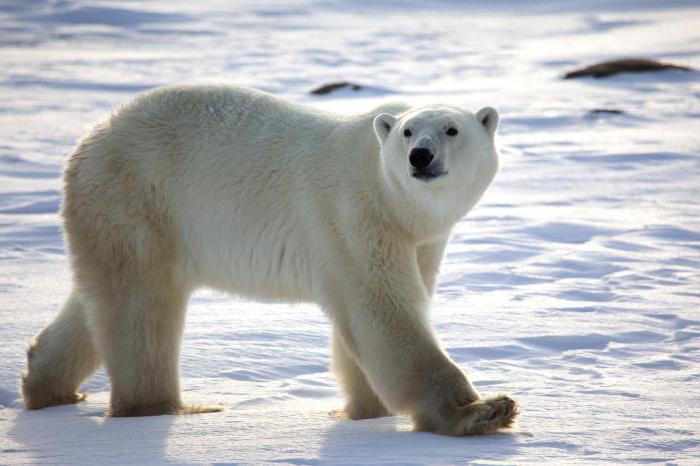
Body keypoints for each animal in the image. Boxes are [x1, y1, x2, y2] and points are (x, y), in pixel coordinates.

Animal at [20, 84, 516, 436]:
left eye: (452, 129)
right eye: (409, 132)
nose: (420, 156)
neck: (391, 196)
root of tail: (91, 138)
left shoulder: (419, 240)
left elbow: (362, 324)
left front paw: (364, 413)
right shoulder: (352, 214)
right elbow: (384, 312)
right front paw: (482, 410)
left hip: (118, 216)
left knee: (98, 301)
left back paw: (48, 386)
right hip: (140, 197)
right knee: (142, 310)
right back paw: (167, 409)